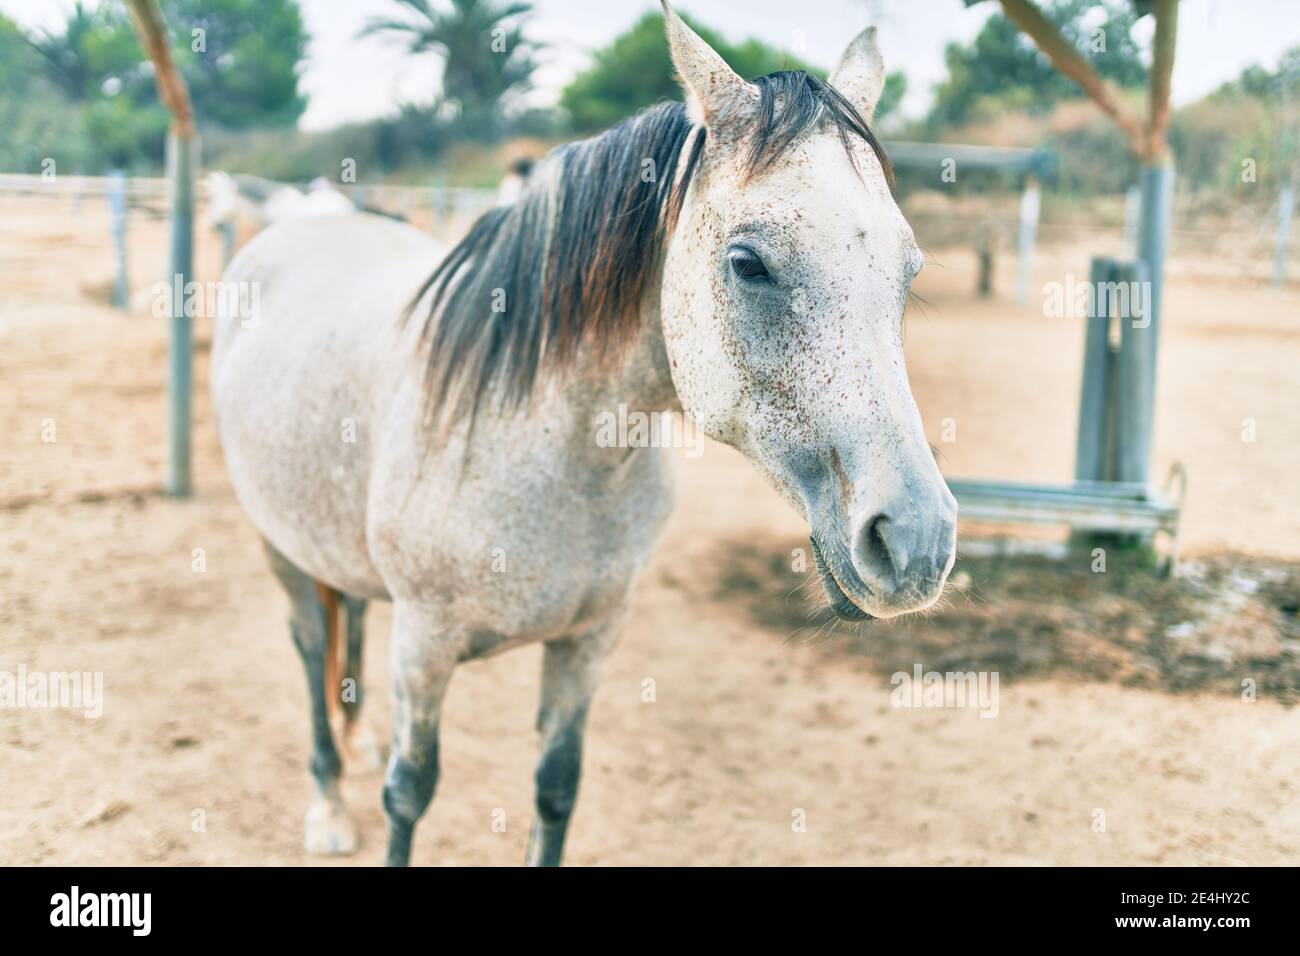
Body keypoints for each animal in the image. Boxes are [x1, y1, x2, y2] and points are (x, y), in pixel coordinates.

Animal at [211, 1, 957, 867]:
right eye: (748, 263)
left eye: (909, 270)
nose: (916, 542)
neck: (549, 451)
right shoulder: (425, 646)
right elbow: (409, 794)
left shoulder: (590, 639)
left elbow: (556, 787)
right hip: (282, 551)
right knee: (309, 650)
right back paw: (329, 805)